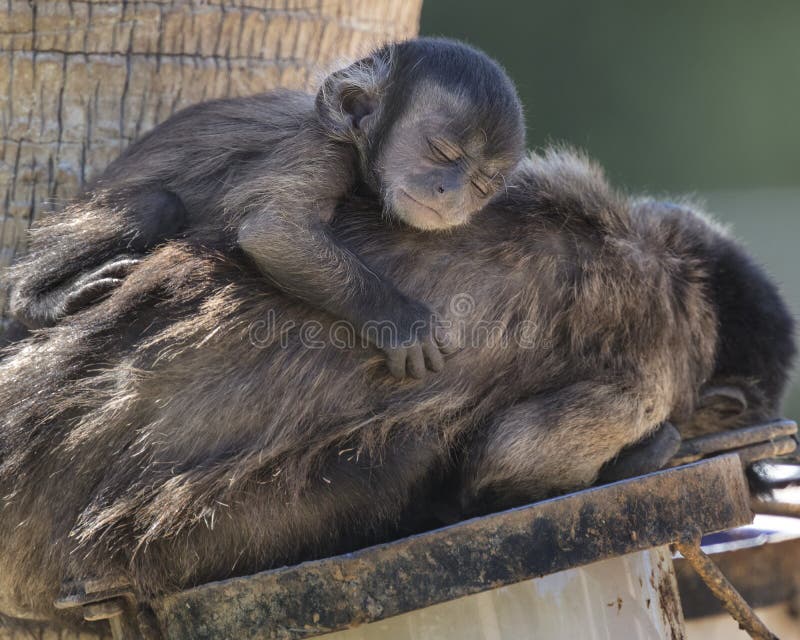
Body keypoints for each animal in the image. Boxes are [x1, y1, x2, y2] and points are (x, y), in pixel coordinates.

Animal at [6, 37, 526, 380]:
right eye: (440, 151)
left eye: (481, 183)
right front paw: (400, 321)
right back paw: (37, 302)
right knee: (157, 205)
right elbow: (274, 231)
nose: (448, 191)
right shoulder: (322, 150)